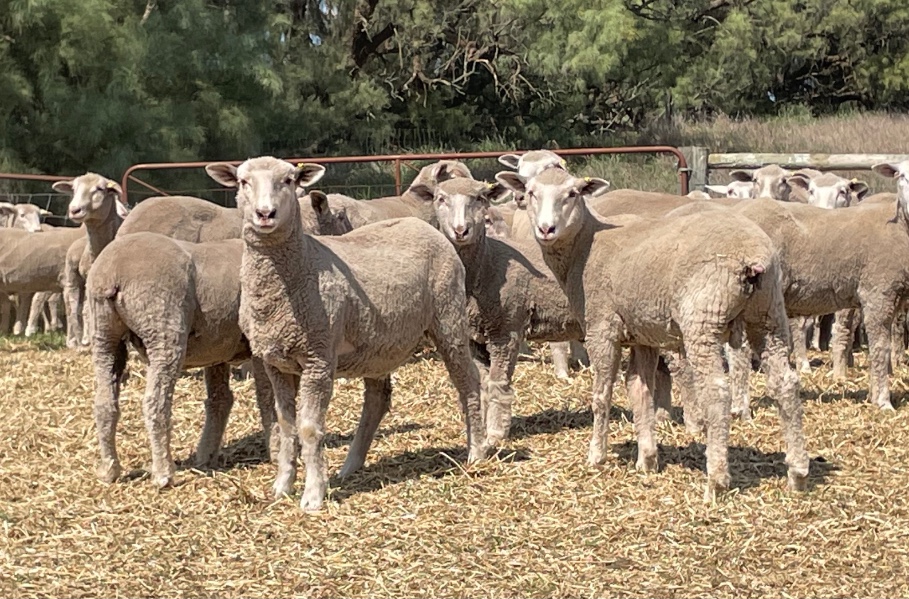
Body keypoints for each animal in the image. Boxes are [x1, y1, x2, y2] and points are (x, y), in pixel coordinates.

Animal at [206, 156, 490, 511]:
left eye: (289, 180)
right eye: (243, 181)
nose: (265, 213)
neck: (300, 269)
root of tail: (427, 227)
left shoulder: (318, 357)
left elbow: (309, 428)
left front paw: (313, 494)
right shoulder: (276, 363)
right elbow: (286, 425)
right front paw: (282, 486)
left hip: (448, 317)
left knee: (468, 381)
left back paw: (476, 451)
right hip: (379, 342)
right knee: (378, 399)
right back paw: (352, 464)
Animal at [408, 175, 584, 444]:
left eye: (480, 198)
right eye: (440, 199)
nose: (461, 230)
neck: (486, 264)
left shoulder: (506, 330)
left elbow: (498, 382)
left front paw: (495, 432)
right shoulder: (474, 338)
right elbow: (482, 383)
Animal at [495, 167, 807, 501]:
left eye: (573, 193)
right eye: (530, 192)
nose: (546, 228)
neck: (585, 245)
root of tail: (751, 255)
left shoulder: (602, 327)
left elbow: (602, 394)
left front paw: (597, 455)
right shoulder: (642, 334)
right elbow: (639, 389)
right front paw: (646, 458)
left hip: (703, 320)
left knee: (716, 390)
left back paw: (717, 480)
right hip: (769, 314)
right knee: (785, 383)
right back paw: (798, 473)